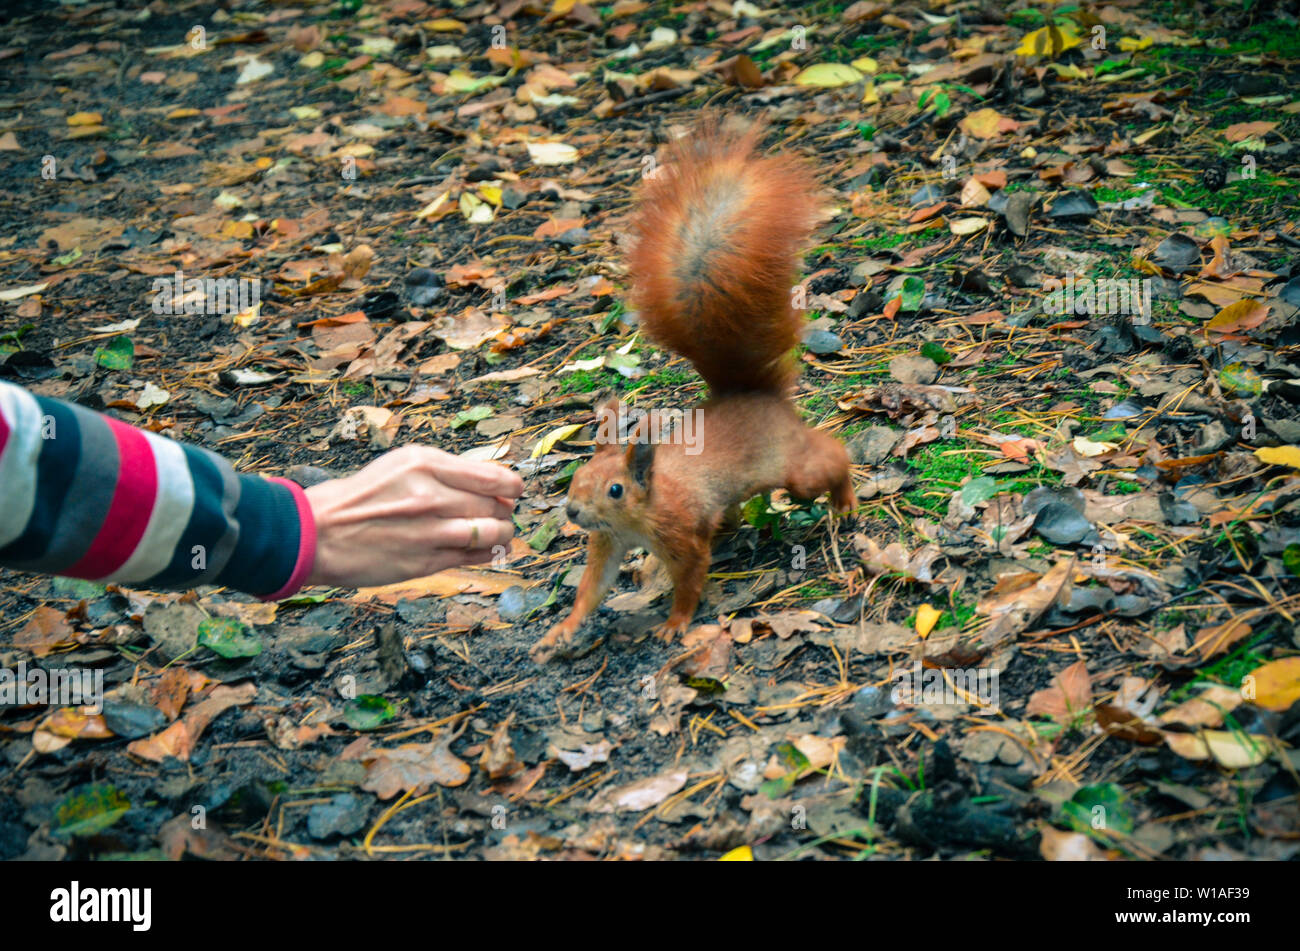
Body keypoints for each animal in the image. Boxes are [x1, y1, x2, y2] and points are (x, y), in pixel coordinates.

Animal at [530, 121, 854, 663]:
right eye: (576, 478)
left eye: (615, 489)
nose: (572, 513)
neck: (639, 515)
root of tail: (747, 392)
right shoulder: (606, 543)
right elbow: (592, 589)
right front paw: (562, 630)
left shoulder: (680, 533)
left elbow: (690, 579)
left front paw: (674, 623)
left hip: (795, 469)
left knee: (830, 457)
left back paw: (845, 500)